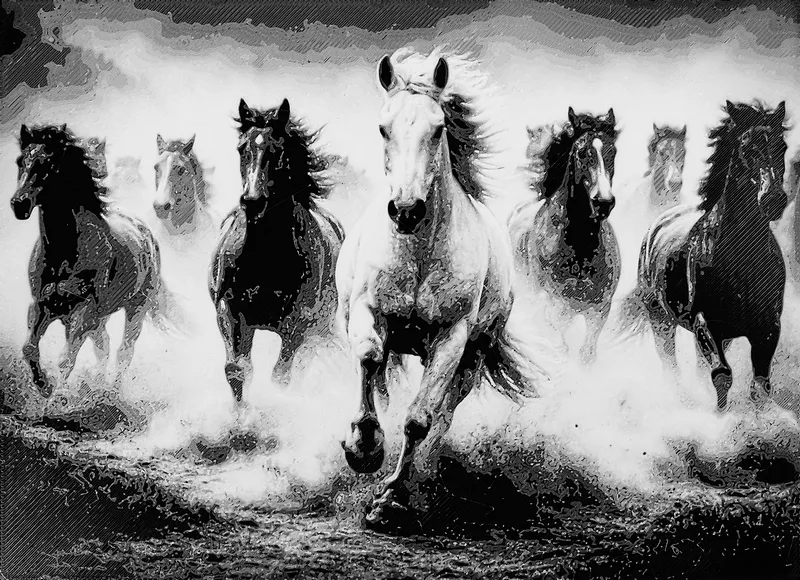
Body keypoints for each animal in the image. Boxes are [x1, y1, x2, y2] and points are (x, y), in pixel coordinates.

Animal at [10, 124, 179, 398]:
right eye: (20, 161)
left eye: (49, 164)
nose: (19, 204)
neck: (63, 254)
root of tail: (147, 236)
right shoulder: (42, 306)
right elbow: (30, 348)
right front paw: (44, 386)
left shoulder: (84, 312)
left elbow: (66, 358)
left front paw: (58, 397)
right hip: (100, 317)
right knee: (105, 347)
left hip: (136, 307)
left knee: (124, 351)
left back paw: (111, 392)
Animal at [208, 97, 345, 403]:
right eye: (242, 148)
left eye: (277, 150)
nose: (252, 201)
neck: (265, 254)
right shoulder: (231, 313)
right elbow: (237, 370)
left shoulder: (297, 326)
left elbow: (280, 377)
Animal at [337, 49, 551, 532]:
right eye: (384, 128)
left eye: (437, 129)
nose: (406, 210)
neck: (418, 257)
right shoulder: (368, 312)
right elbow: (368, 359)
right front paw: (363, 447)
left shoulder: (451, 337)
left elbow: (420, 419)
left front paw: (391, 499)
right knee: (381, 375)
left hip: (472, 356)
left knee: (445, 412)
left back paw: (426, 473)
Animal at [507, 107, 621, 364]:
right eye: (582, 152)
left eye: (613, 151)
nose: (603, 202)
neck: (580, 249)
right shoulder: (553, 307)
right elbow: (562, 348)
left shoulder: (599, 311)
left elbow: (586, 355)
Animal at [615, 101, 788, 411]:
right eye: (747, 148)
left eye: (783, 146)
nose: (774, 200)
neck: (741, 261)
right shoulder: (706, 324)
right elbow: (722, 376)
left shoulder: (768, 327)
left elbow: (760, 386)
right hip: (660, 318)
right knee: (669, 362)